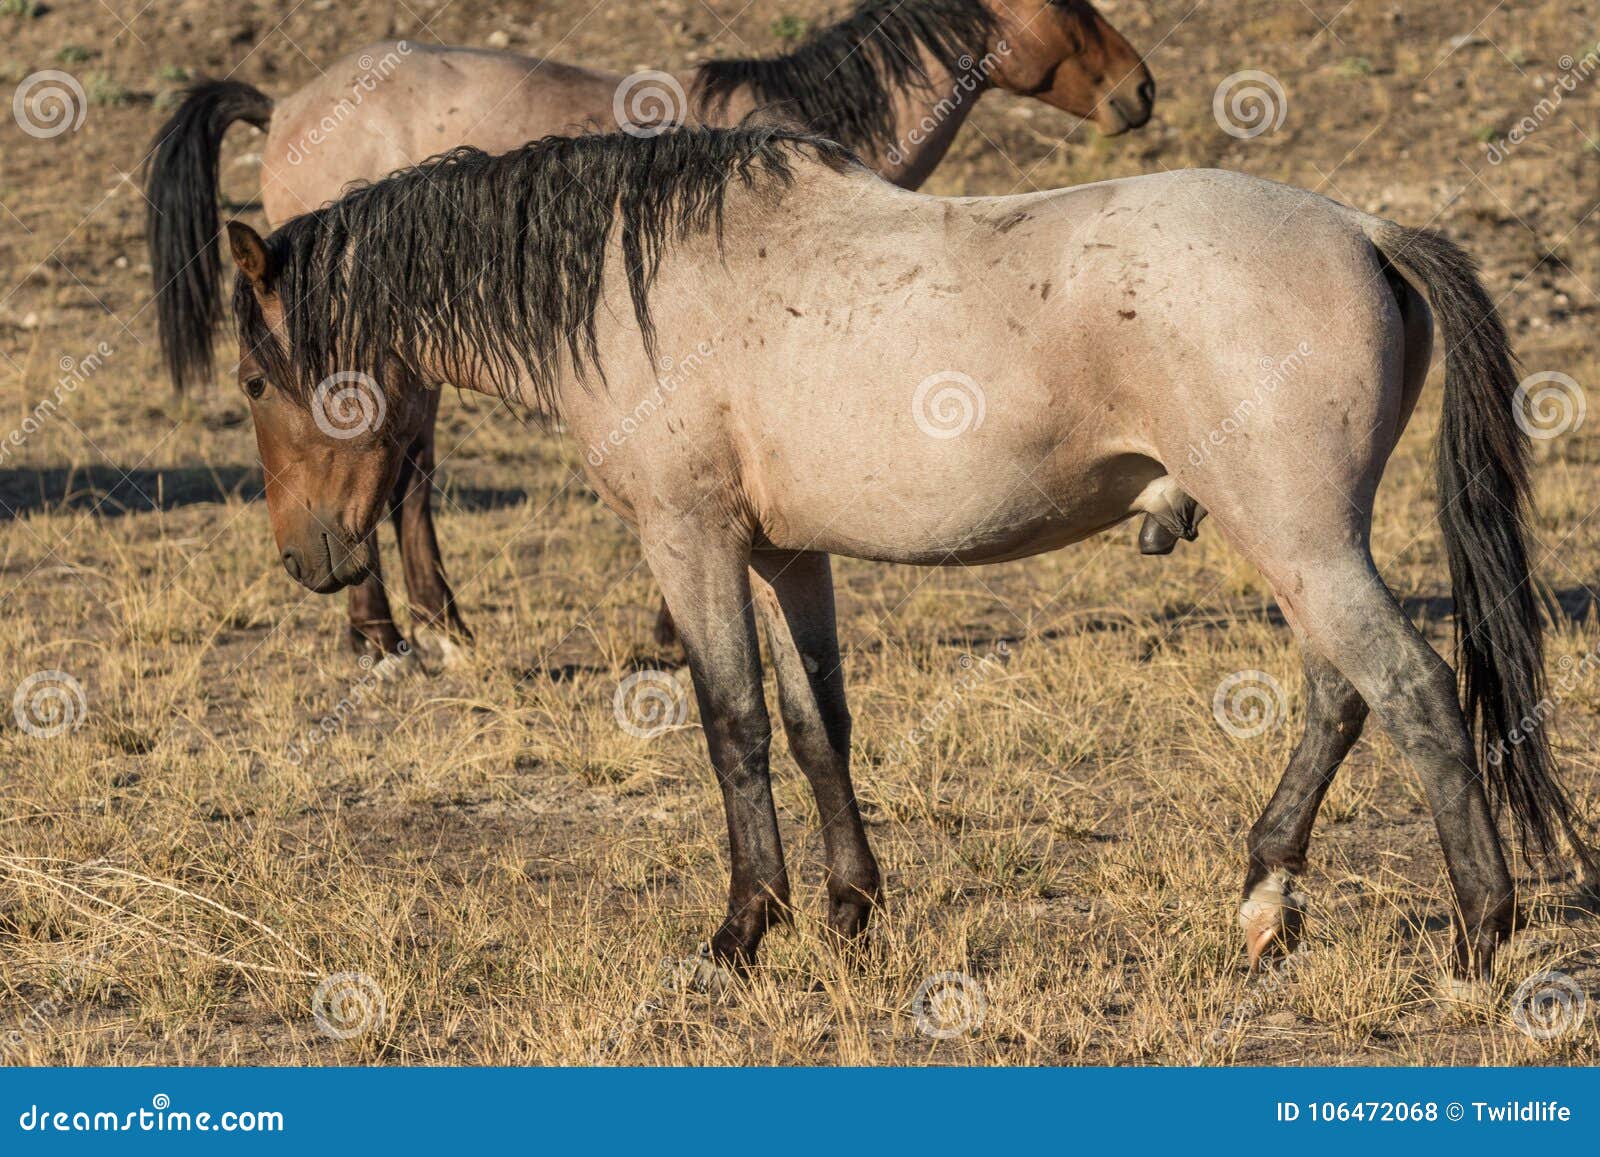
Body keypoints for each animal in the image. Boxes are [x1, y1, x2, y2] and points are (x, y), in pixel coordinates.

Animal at [144, 0, 1155, 666]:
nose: (1140, 91)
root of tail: (285, 106)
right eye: (1069, 4)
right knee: (407, 481)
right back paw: (394, 634)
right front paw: (669, 637)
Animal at [220, 122, 1589, 988]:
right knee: (1338, 696)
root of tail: (1361, 227)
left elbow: (731, 725)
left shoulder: (689, 540)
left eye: (250, 377)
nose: (306, 560)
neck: (630, 282)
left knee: (1410, 690)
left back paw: (1478, 932)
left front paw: (741, 931)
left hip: (1295, 536)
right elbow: (816, 724)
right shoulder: (785, 558)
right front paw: (846, 912)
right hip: (1300, 542)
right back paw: (1264, 904)